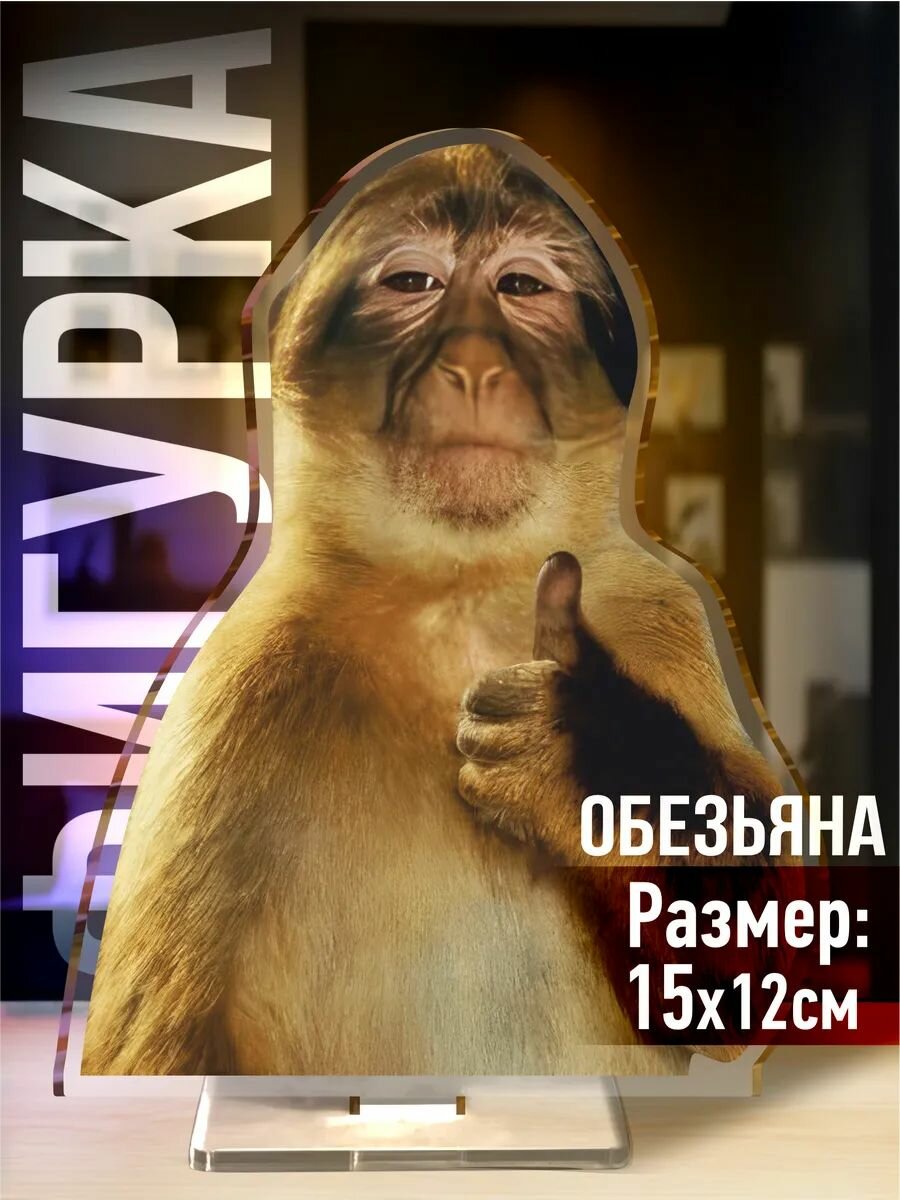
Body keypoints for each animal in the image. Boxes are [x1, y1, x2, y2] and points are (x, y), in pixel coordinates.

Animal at [82, 140, 797, 1078]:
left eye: (521, 286)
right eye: (412, 283)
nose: (476, 363)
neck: (458, 591)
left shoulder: (660, 609)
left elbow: (756, 988)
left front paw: (592, 754)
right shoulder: (240, 685)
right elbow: (153, 1054)